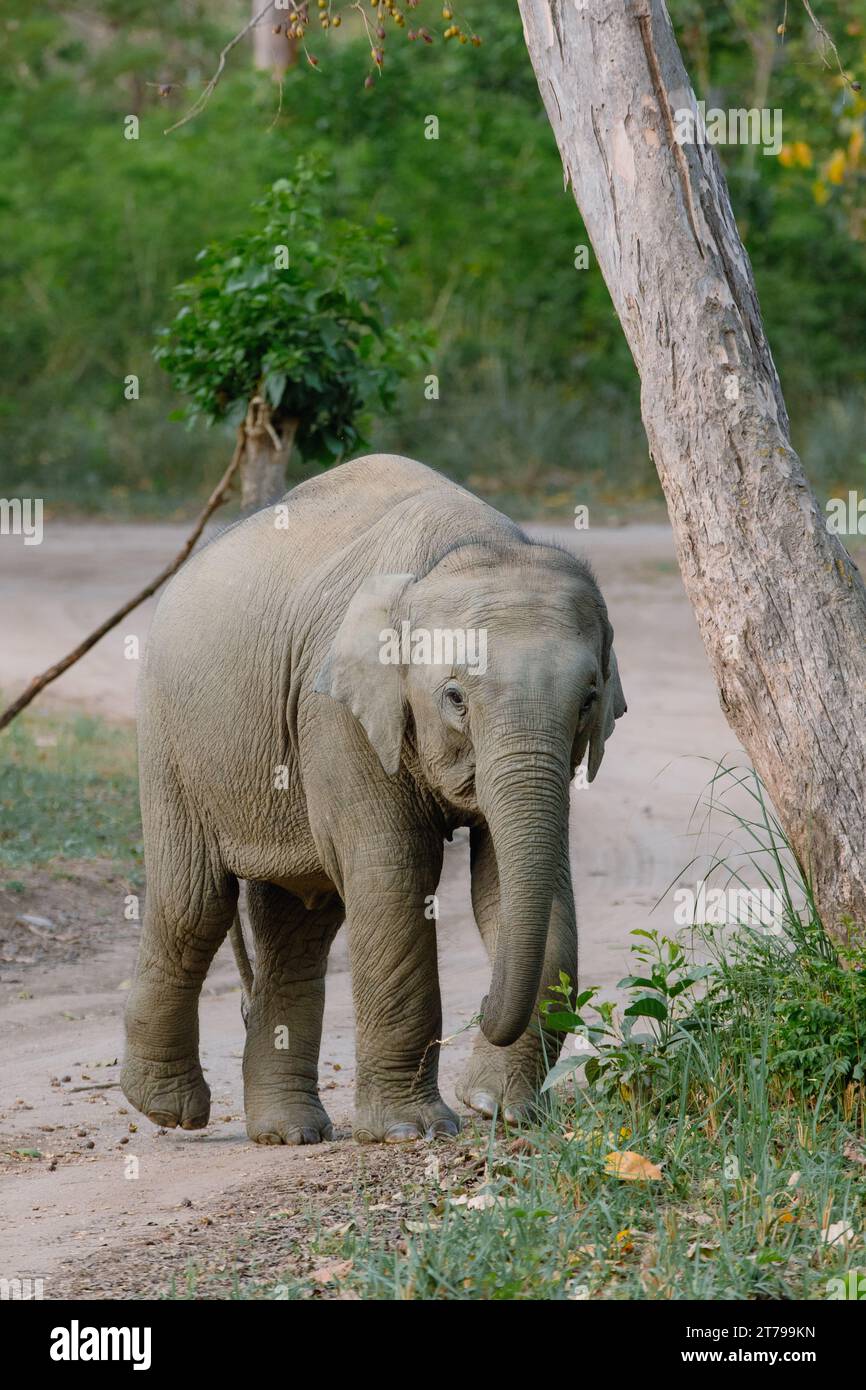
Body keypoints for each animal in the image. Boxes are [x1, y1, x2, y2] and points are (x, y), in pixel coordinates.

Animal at [120, 454, 626, 1145]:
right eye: (454, 697)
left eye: (588, 700)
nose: (483, 1006)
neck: (465, 549)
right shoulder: (336, 714)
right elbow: (395, 874)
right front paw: (413, 1131)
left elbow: (522, 883)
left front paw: (507, 1110)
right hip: (171, 740)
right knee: (194, 904)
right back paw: (169, 1110)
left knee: (297, 928)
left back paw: (289, 1133)